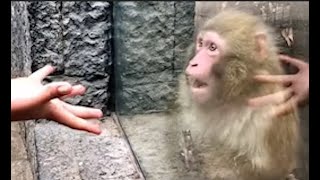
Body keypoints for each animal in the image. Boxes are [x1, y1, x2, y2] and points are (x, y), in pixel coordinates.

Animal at [169, 9, 302, 180]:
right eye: (201, 43)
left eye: (212, 47)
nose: (194, 63)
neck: (235, 95)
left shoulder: (270, 108)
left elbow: (265, 170)